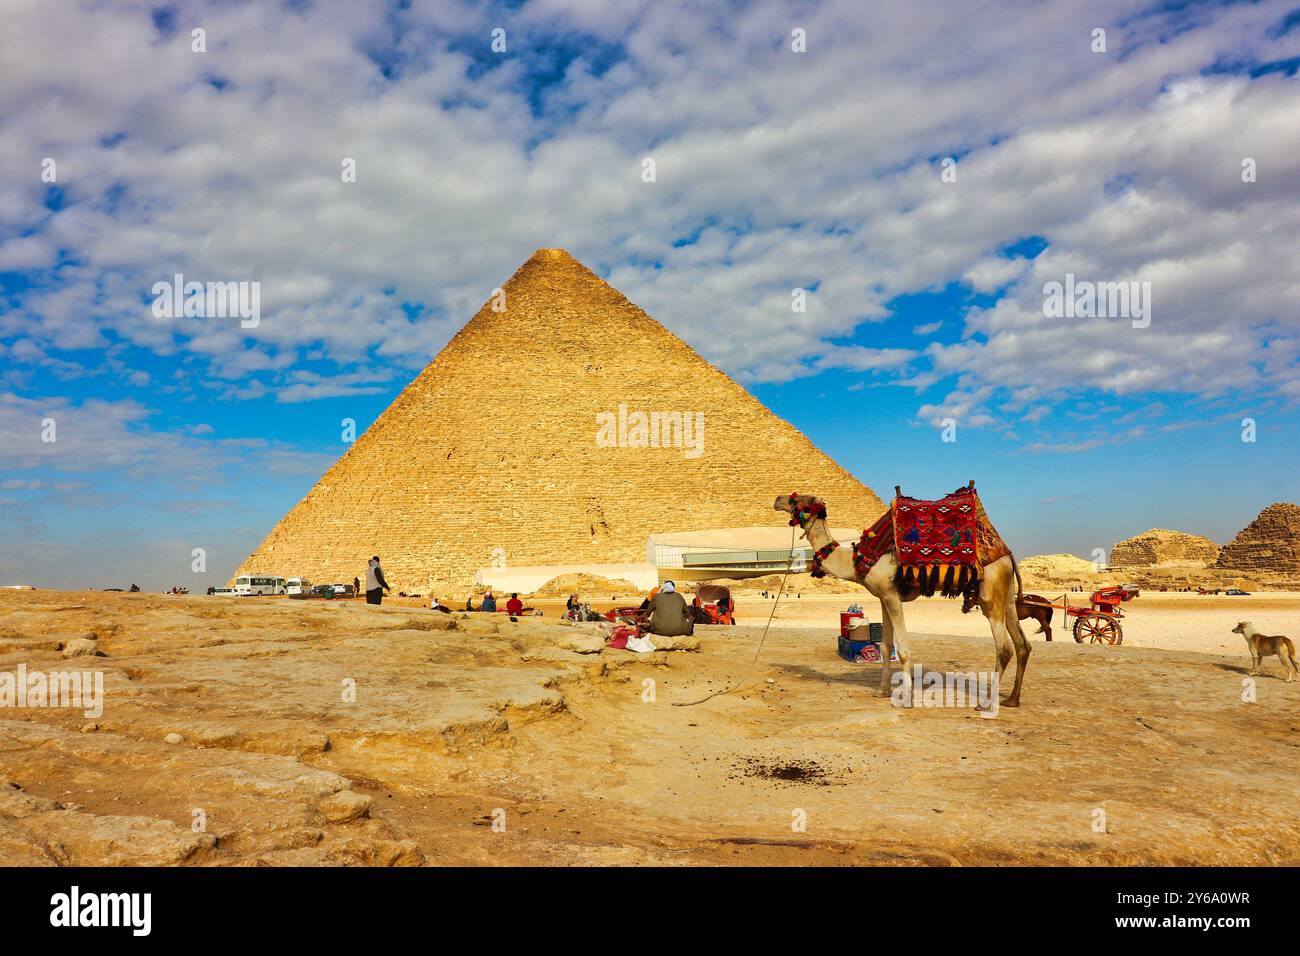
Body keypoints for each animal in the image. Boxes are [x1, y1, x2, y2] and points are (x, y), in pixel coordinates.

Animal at [774, 492, 1031, 708]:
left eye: (801, 500)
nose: (777, 499)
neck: (857, 560)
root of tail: (1007, 553)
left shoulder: (892, 596)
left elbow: (904, 649)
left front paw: (906, 698)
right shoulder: (883, 597)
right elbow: (886, 646)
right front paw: (882, 691)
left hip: (990, 593)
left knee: (1004, 648)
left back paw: (987, 703)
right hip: (1006, 596)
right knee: (1022, 644)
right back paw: (1012, 699)